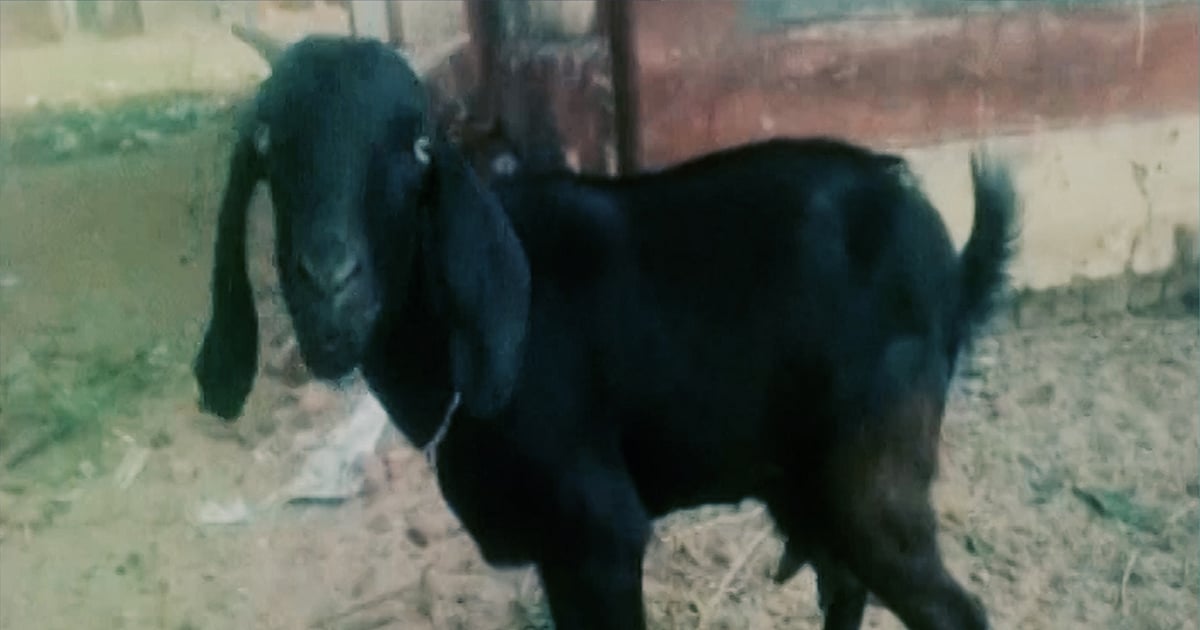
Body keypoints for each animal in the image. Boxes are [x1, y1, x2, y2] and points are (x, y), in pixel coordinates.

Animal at [194, 28, 1019, 630]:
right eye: (268, 147)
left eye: (416, 149)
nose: (329, 282)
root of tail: (948, 263)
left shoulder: (598, 534)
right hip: (802, 480)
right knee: (843, 584)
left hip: (874, 468)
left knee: (946, 609)